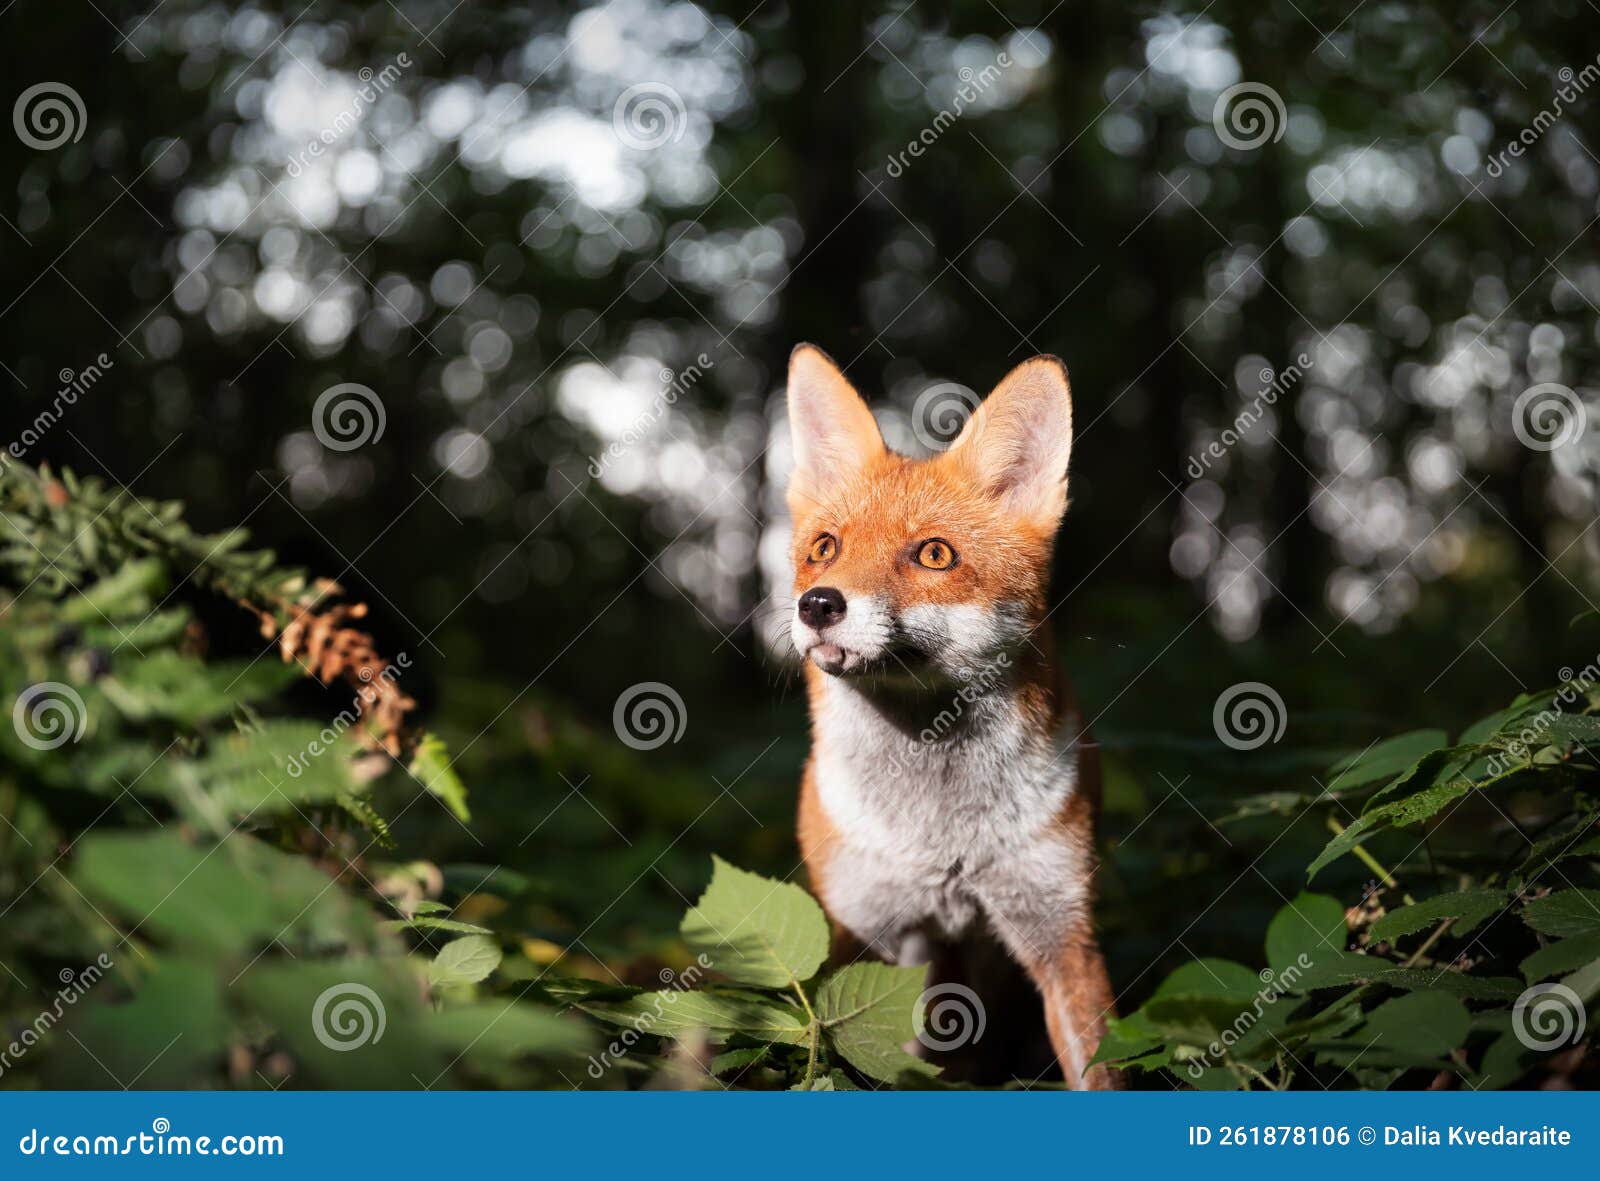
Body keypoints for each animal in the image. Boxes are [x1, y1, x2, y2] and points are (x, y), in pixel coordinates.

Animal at [784, 343, 1121, 1090]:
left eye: (934, 554)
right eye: (825, 548)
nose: (817, 604)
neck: (940, 834)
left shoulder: (1060, 932)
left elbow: (1101, 1069)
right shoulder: (859, 933)